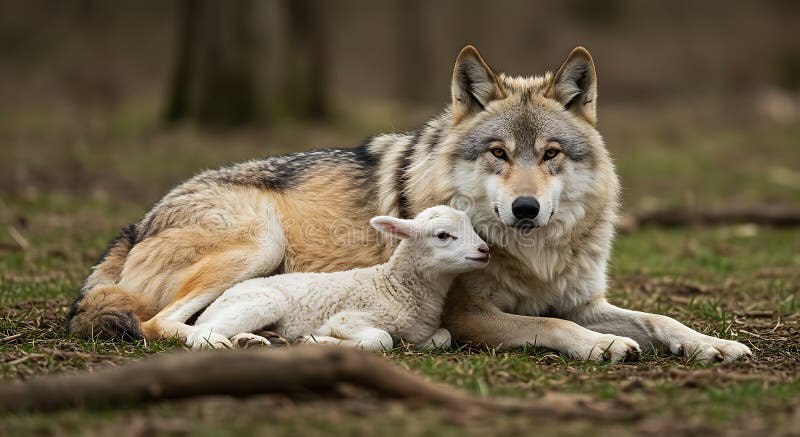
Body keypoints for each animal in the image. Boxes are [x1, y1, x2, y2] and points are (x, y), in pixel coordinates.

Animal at [187, 205, 490, 351]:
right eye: (442, 235)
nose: (484, 250)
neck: (395, 286)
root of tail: (214, 304)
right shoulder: (349, 318)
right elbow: (381, 339)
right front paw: (318, 341)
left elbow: (443, 337)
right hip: (261, 302)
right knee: (200, 333)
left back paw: (254, 341)